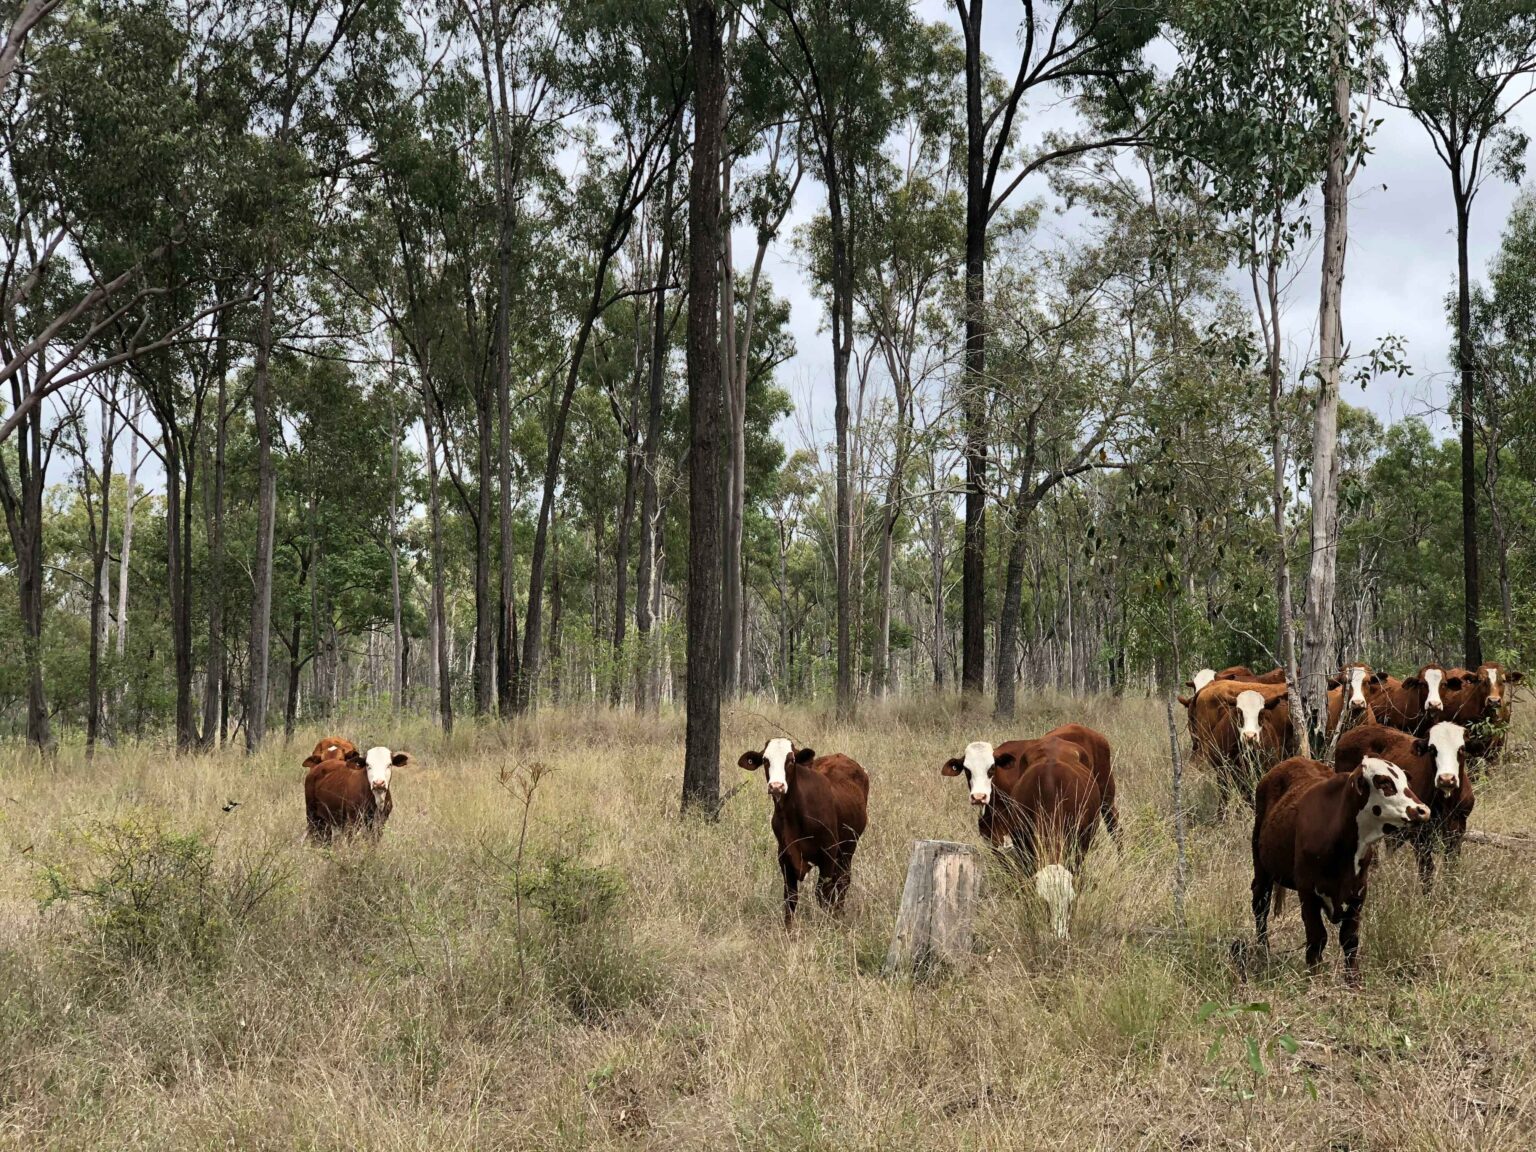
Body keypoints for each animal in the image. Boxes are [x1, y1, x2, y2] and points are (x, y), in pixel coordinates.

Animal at [738, 739, 869, 929]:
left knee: (843, 881)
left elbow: (823, 894)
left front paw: (828, 925)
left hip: (848, 848)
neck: (794, 814)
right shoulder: (784, 856)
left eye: (791, 760)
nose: (776, 786)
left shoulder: (828, 854)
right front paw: (789, 930)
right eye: (765, 760)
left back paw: (839, 913)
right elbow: (790, 897)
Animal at [1251, 755, 1429, 982]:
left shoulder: (1358, 892)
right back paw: (1262, 950)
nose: (1423, 810)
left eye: (1407, 781)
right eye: (1384, 783)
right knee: (1260, 906)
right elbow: (1317, 937)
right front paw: (1314, 977)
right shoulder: (1307, 892)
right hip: (1262, 867)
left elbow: (1350, 938)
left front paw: (1353, 980)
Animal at [1335, 721, 1474, 888]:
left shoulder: (1457, 831)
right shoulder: (1420, 836)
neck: (1446, 803)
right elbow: (1426, 873)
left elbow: (1451, 869)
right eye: (1432, 749)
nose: (1446, 779)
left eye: (1462, 749)